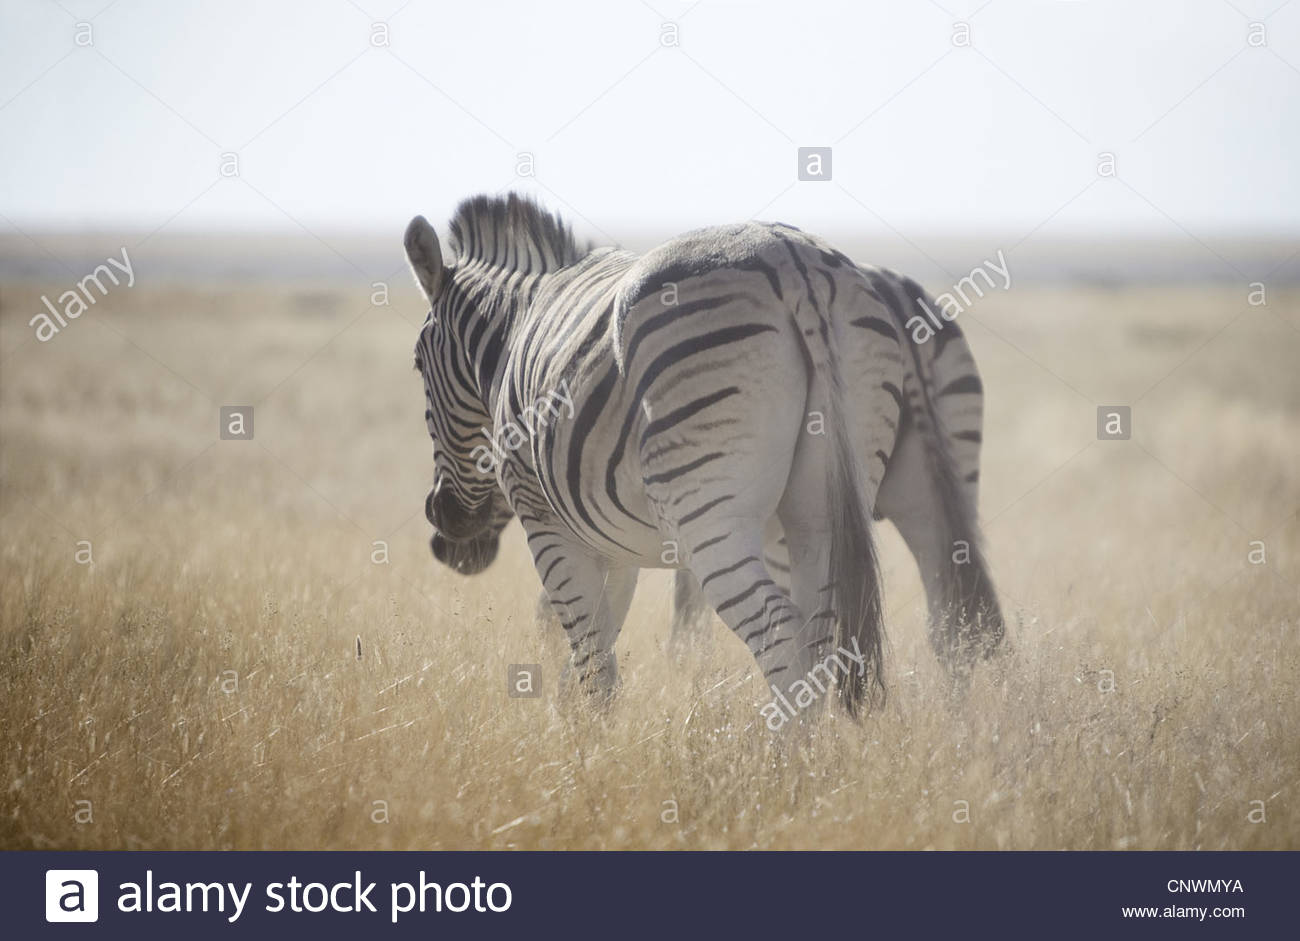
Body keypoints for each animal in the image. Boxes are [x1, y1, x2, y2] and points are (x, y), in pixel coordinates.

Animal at [409, 194, 1002, 718]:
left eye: (417, 364)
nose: (442, 533)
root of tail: (796, 262)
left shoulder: (548, 523)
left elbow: (595, 659)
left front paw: (583, 756)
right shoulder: (612, 545)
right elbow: (592, 656)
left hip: (710, 510)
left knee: (782, 635)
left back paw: (782, 767)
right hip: (856, 494)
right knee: (918, 627)